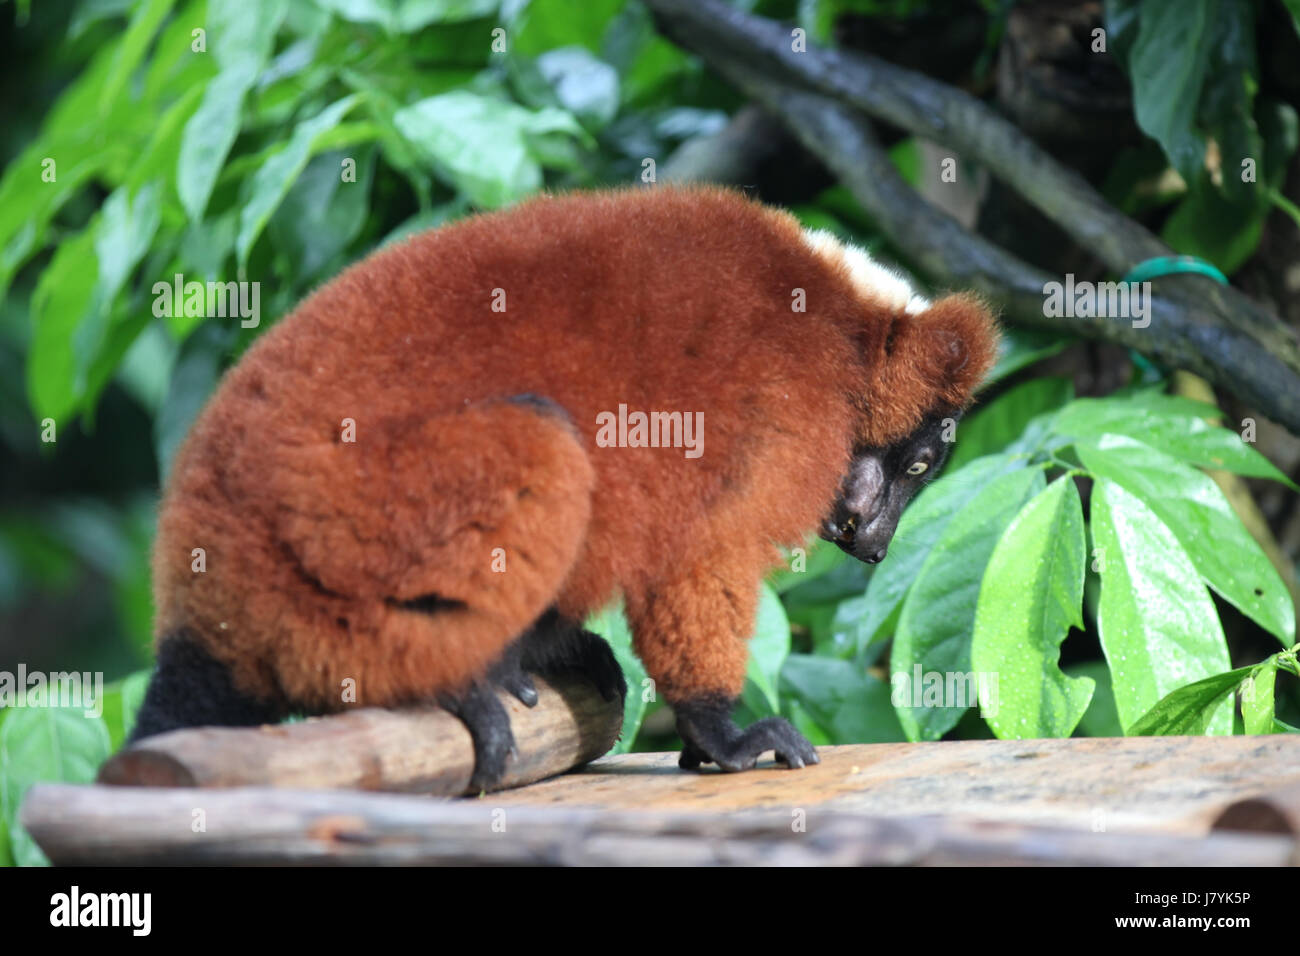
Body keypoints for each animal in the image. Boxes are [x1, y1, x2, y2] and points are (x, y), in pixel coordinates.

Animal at [131, 185, 999, 788]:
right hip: (339, 526)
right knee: (542, 441)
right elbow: (702, 550)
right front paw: (720, 732)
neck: (837, 323)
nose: (879, 546)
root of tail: (208, 579)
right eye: (918, 465)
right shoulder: (789, 408)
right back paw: (446, 680)